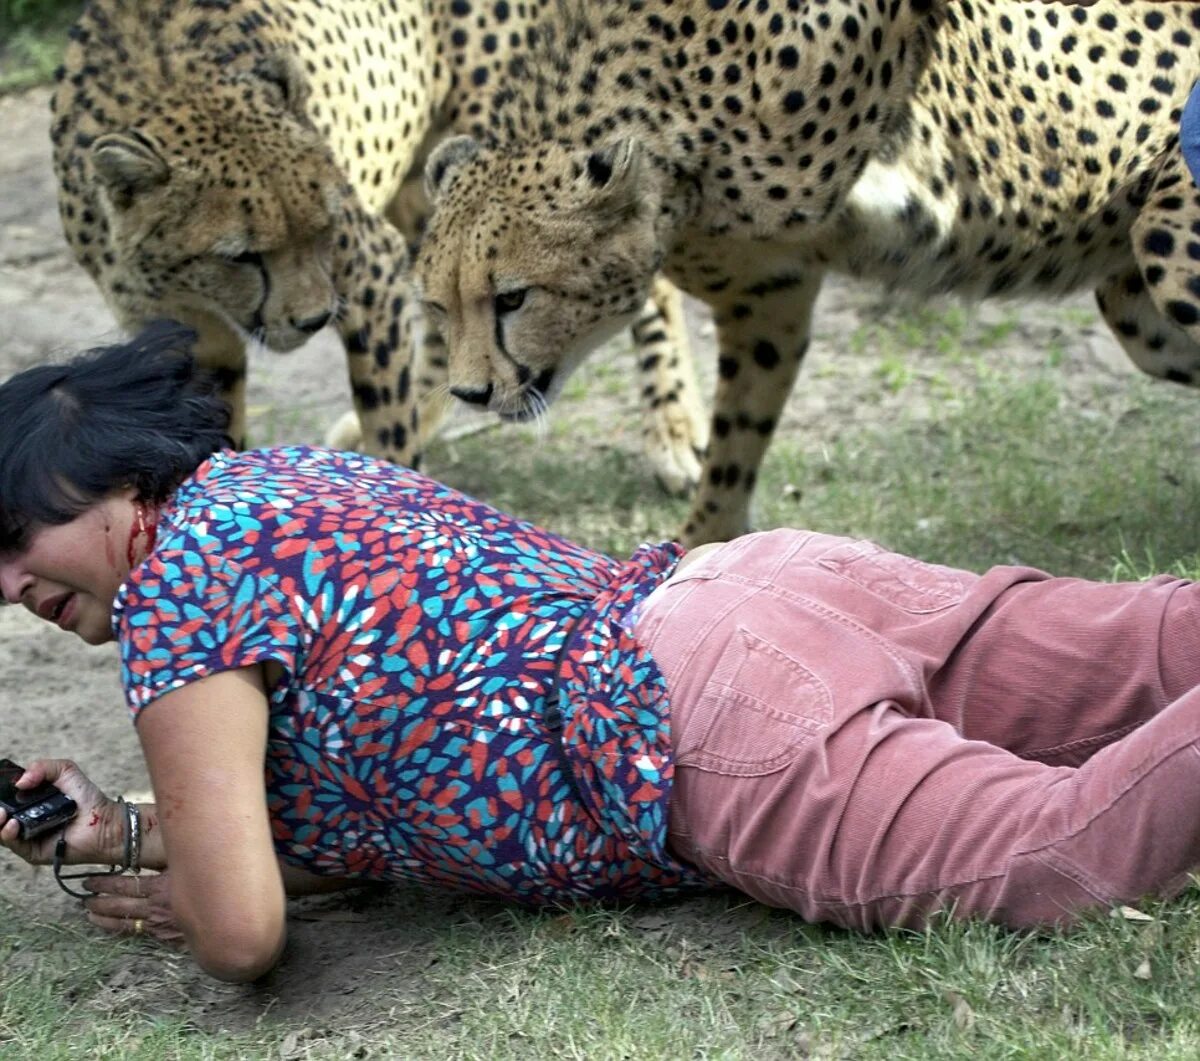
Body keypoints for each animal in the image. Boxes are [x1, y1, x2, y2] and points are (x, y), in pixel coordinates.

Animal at [51, 0, 705, 492]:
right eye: (240, 256)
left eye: (321, 227)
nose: (313, 318)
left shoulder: (369, 273)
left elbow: (387, 418)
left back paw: (673, 430)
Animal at [415, 0, 1200, 547]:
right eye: (438, 308)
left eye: (514, 298)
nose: (471, 392)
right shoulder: (770, 294)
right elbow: (735, 443)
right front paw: (704, 546)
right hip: (1136, 307)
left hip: (1168, 239)